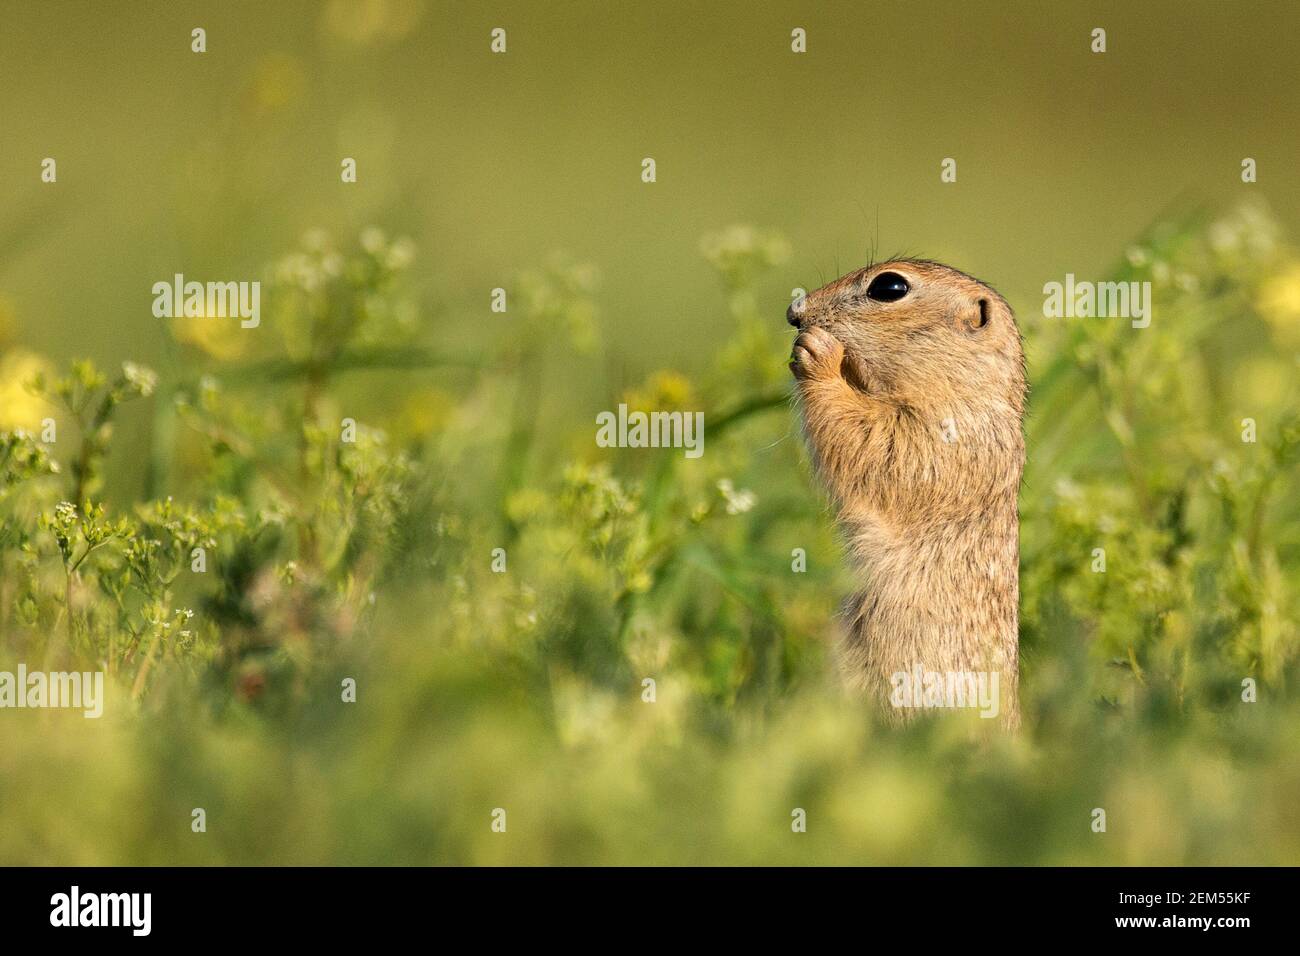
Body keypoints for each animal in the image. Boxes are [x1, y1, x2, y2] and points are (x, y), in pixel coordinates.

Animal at [788, 260, 1026, 727]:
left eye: (889, 287)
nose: (794, 312)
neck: (968, 390)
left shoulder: (936, 439)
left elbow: (873, 442)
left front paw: (817, 354)